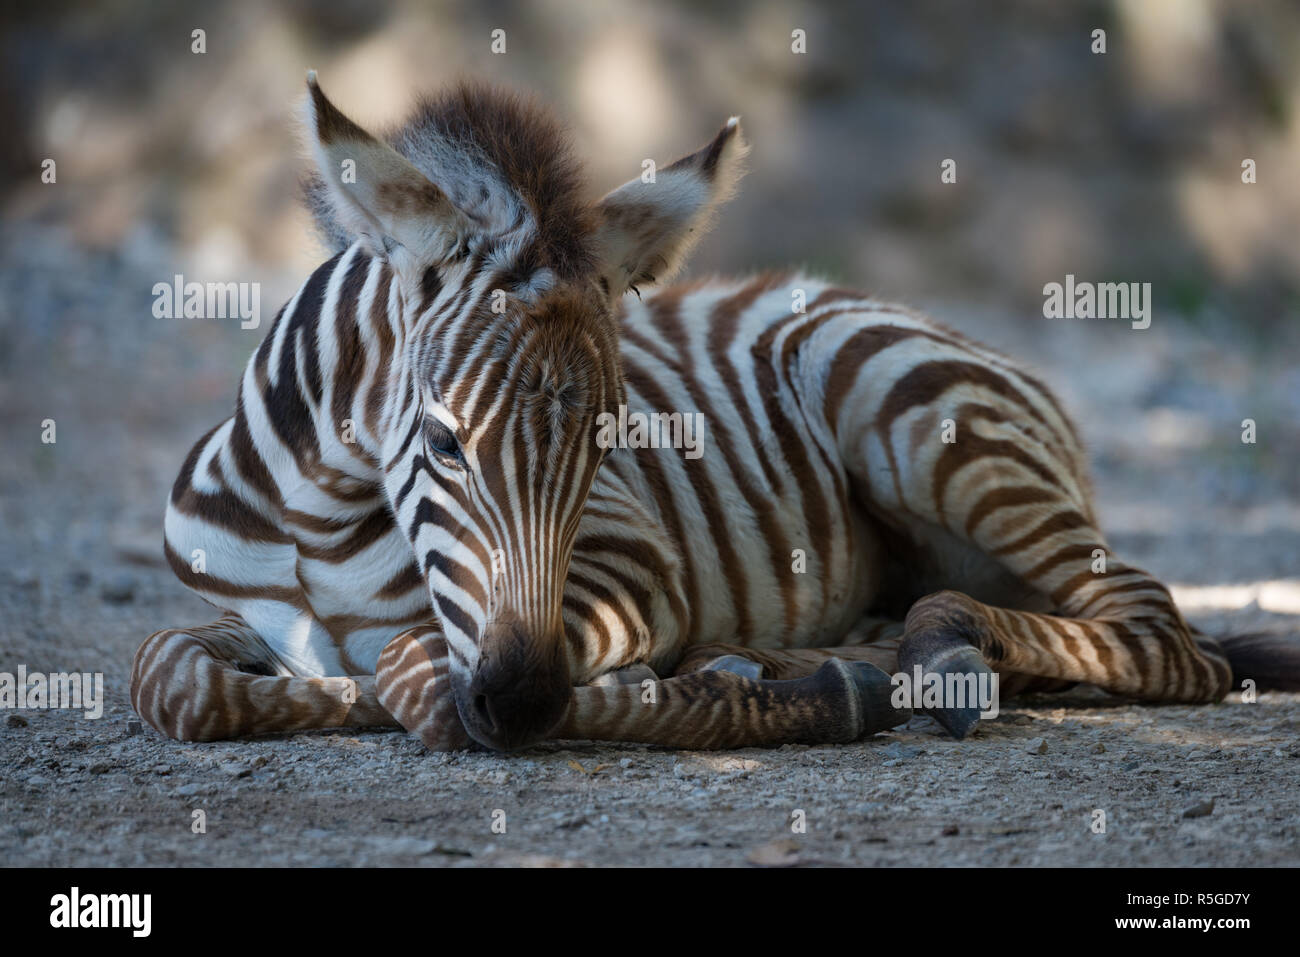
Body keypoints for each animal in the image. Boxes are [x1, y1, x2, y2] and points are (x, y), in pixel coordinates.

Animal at [131, 74, 1300, 752]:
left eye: (610, 446)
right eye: (442, 440)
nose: (523, 708)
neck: (315, 518)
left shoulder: (632, 568)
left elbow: (418, 674)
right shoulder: (242, 617)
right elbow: (172, 680)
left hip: (906, 407)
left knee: (1161, 630)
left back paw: (938, 653)